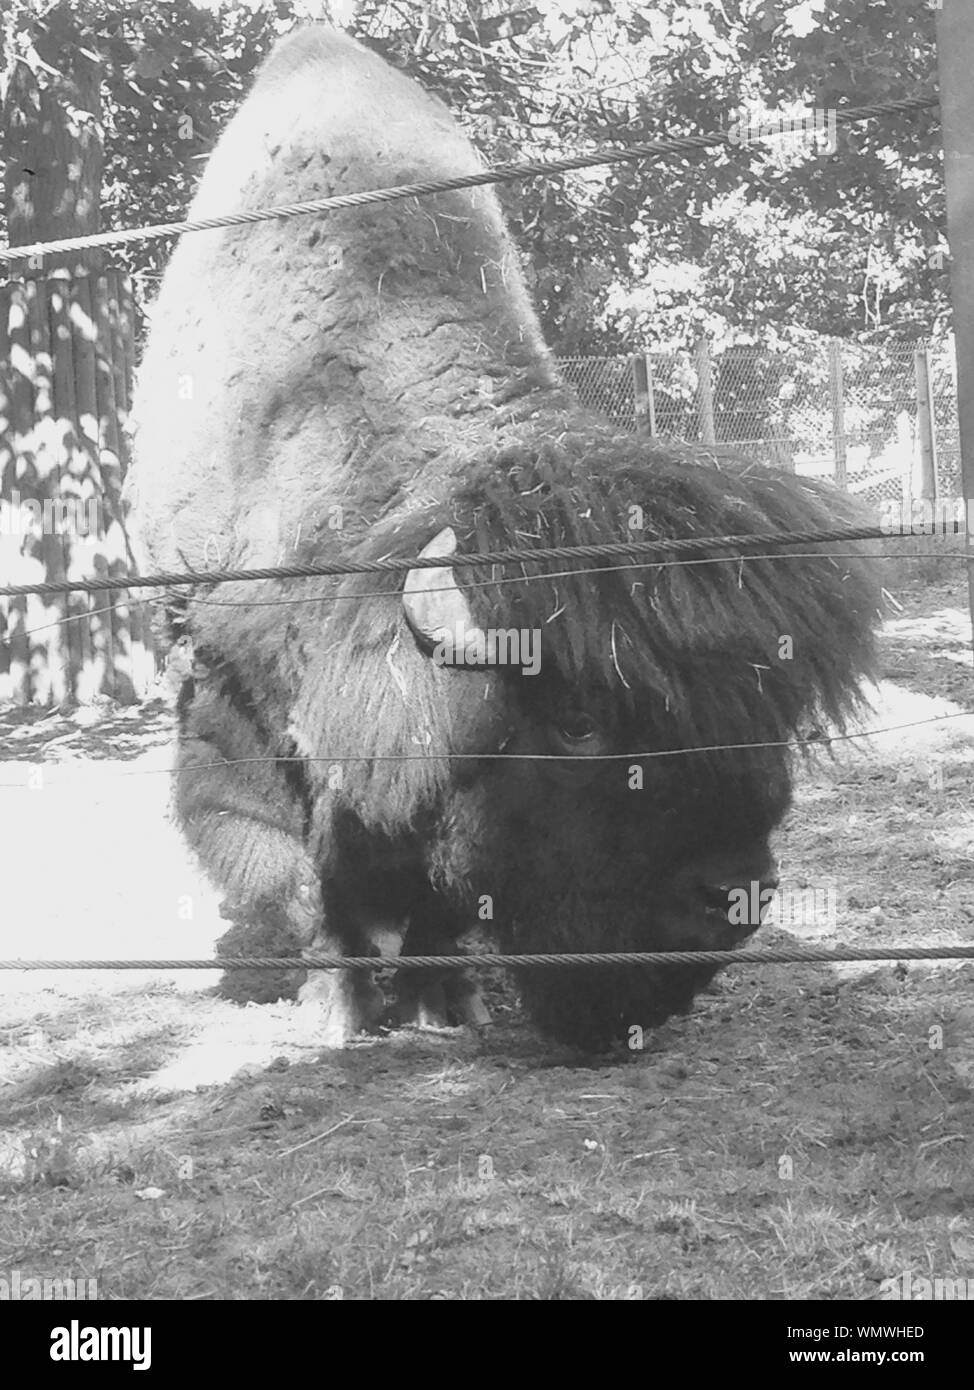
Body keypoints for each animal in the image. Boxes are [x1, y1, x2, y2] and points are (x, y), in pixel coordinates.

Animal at [127, 25, 880, 1050]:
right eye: (578, 723)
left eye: (763, 713)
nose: (731, 902)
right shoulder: (248, 705)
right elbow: (305, 870)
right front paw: (340, 1004)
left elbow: (436, 879)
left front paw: (446, 1001)